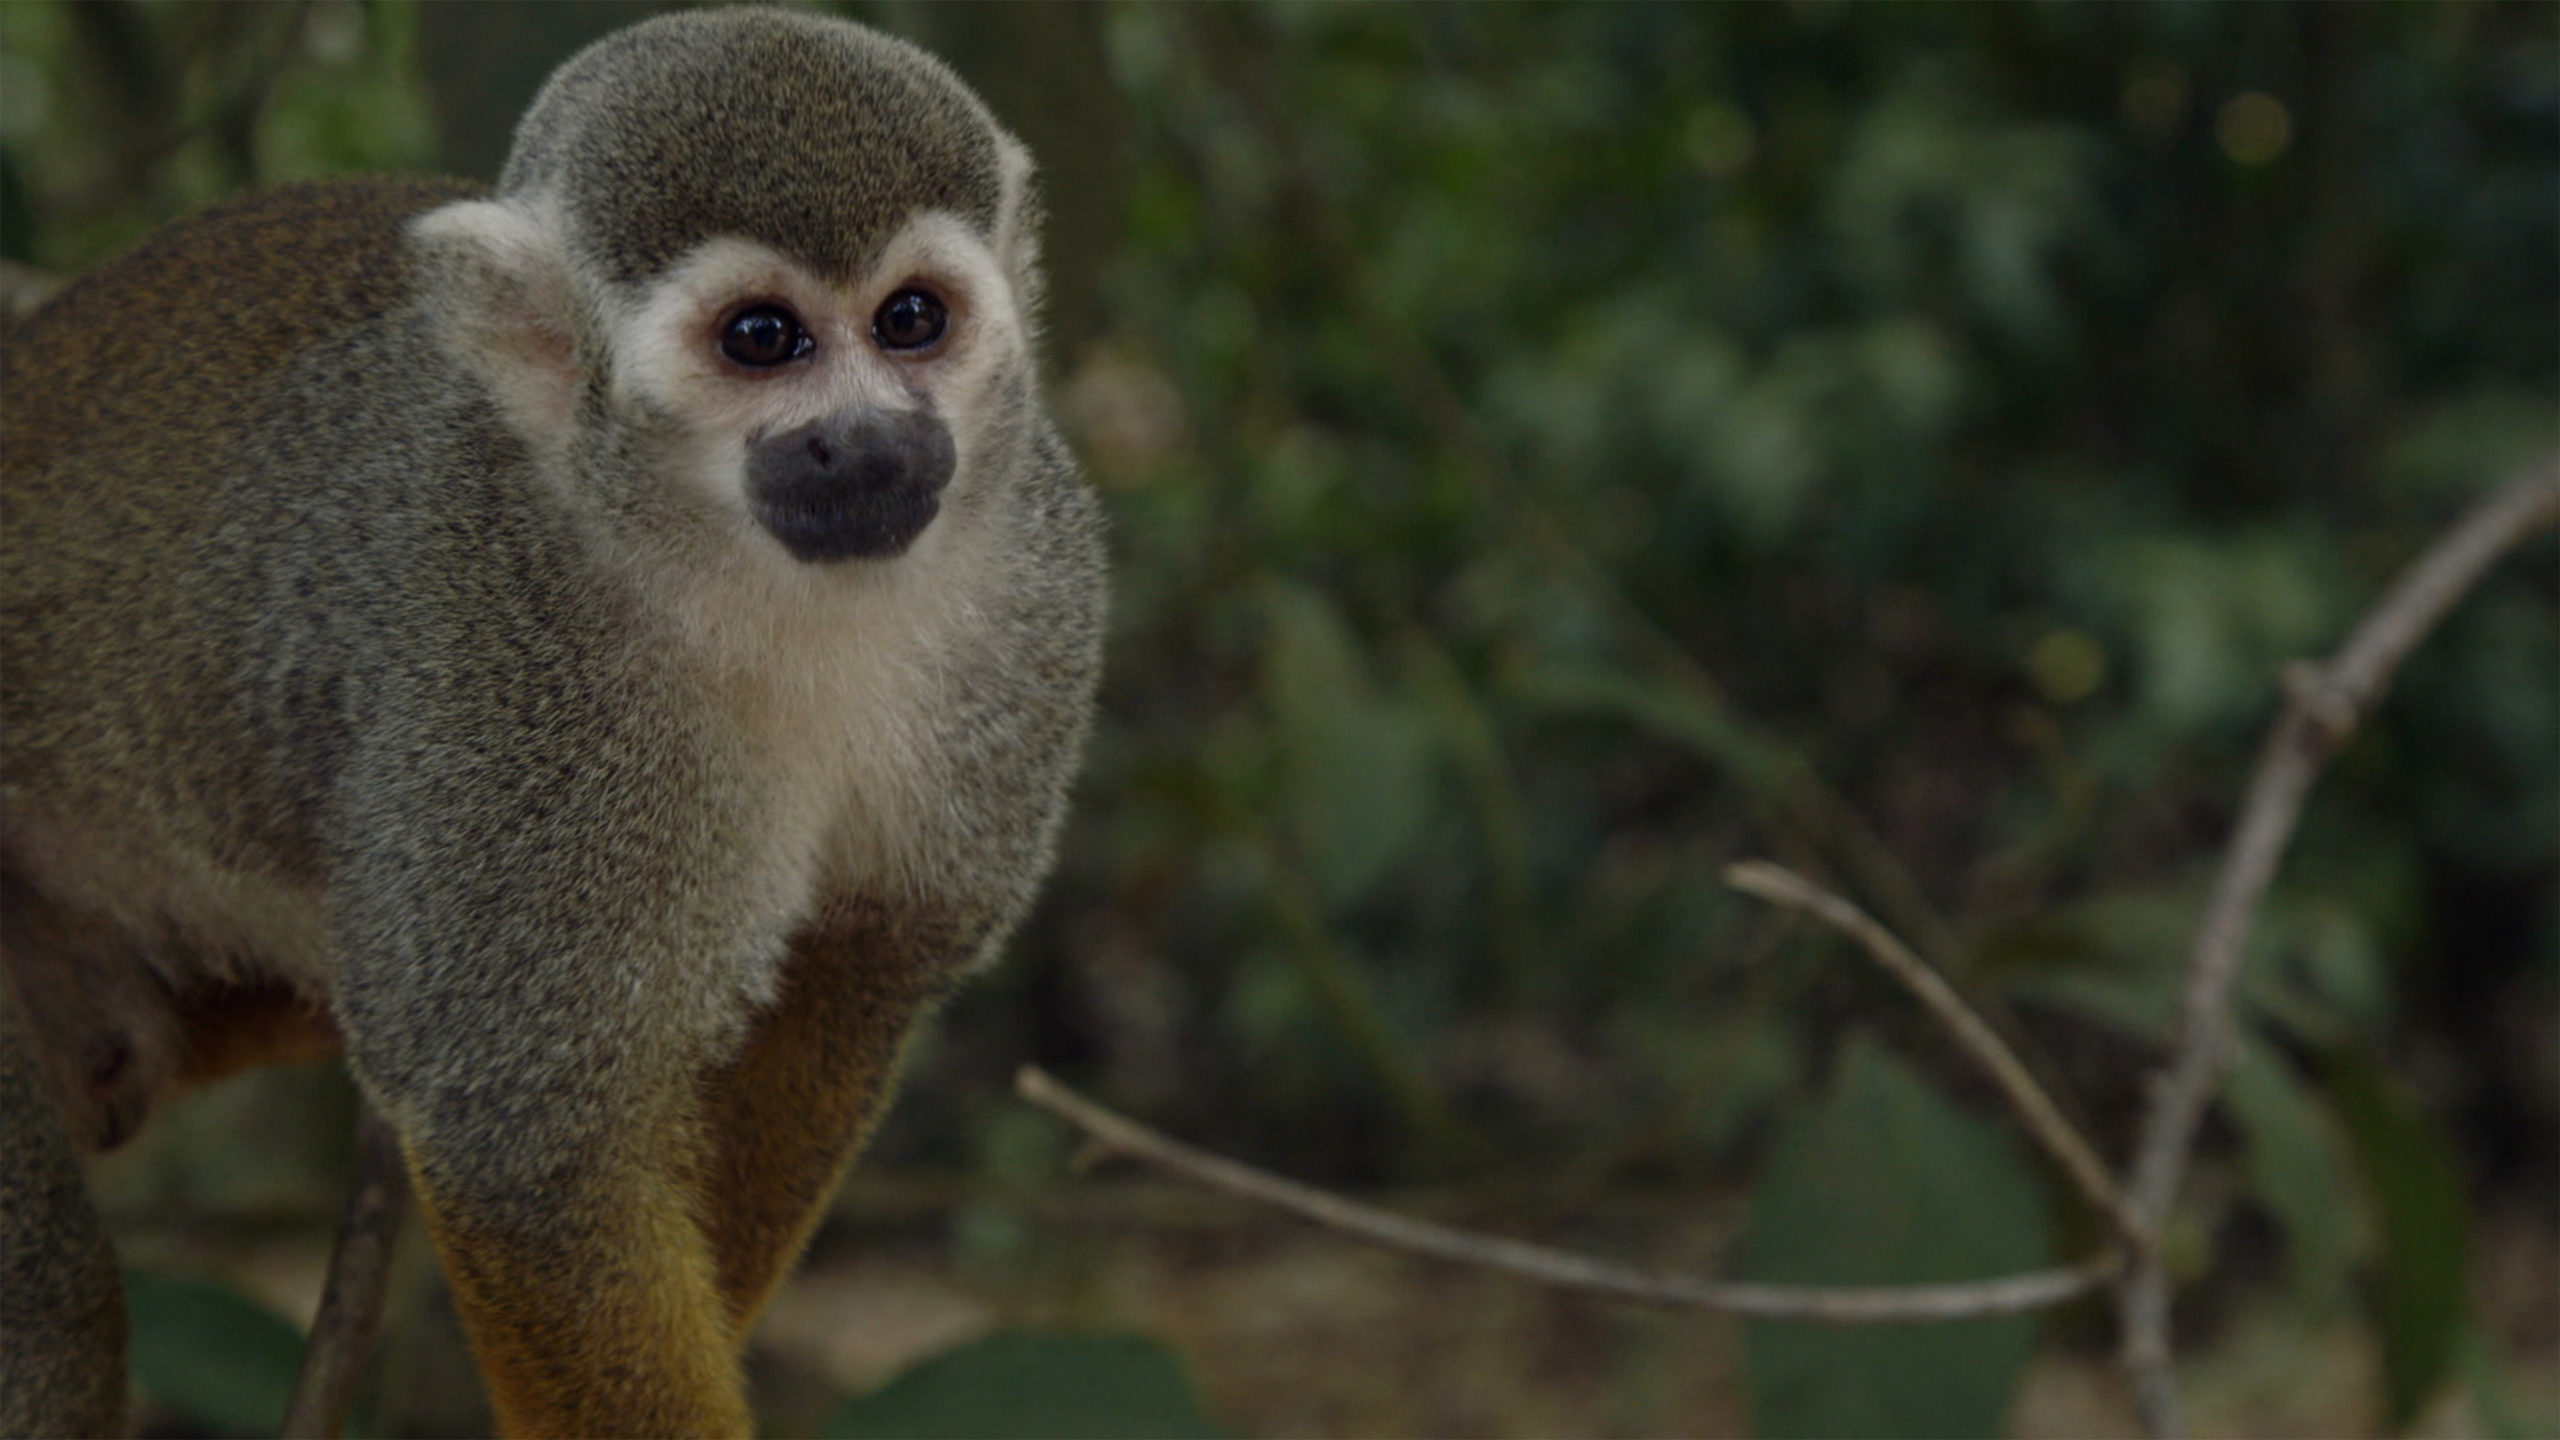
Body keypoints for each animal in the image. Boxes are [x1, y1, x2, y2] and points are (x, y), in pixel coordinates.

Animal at [0, 8, 1105, 1435]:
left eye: (911, 319)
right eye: (762, 338)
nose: (865, 440)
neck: (743, 582)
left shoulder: (1037, 593)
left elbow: (844, 981)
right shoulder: (499, 684)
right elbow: (525, 1136)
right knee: (54, 1309)